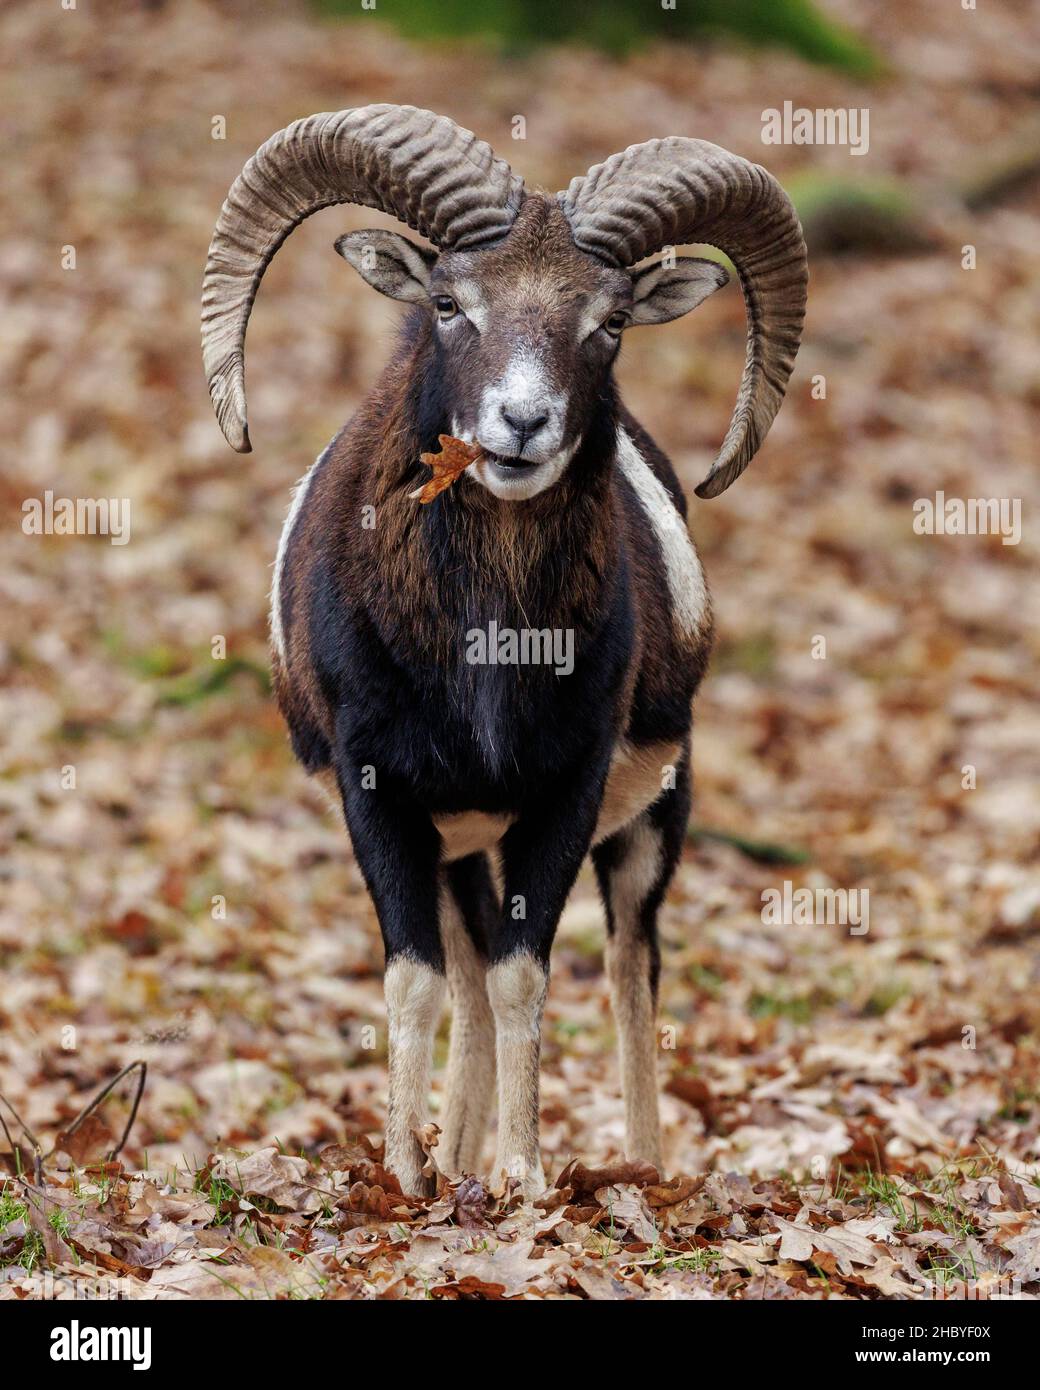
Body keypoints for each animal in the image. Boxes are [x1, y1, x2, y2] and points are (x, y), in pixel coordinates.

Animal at [201, 104, 807, 1198]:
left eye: (609, 321)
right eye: (449, 302)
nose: (521, 425)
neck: (483, 646)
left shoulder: (564, 794)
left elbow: (528, 975)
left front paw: (523, 1178)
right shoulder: (380, 798)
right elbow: (417, 983)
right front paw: (405, 1179)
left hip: (648, 824)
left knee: (628, 970)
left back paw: (638, 1168)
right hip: (459, 850)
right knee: (470, 983)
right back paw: (451, 1164)